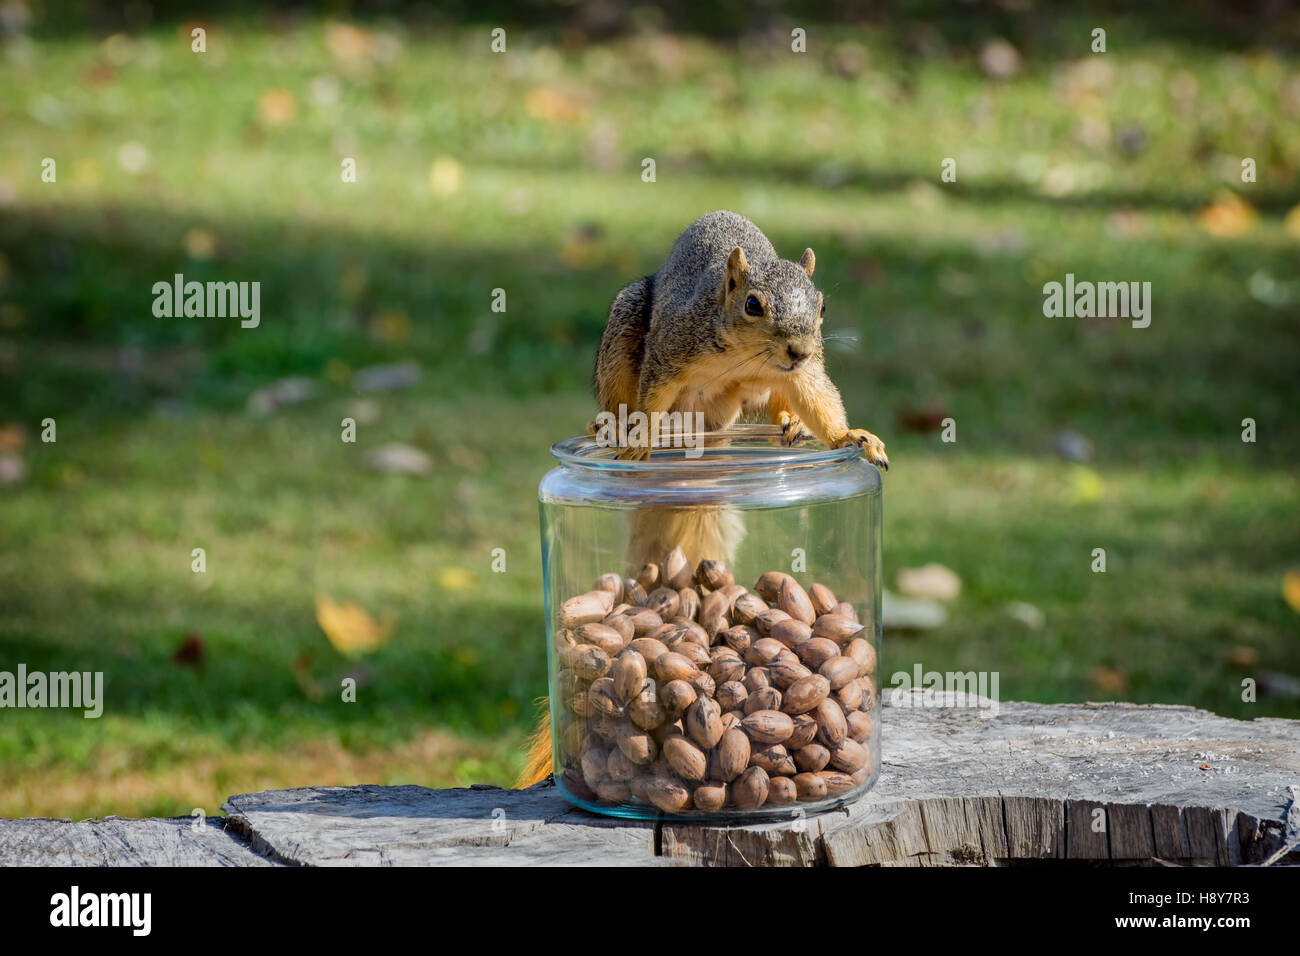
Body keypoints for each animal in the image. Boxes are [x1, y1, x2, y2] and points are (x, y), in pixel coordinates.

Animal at [515, 210, 887, 789]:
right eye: (753, 304)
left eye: (822, 304)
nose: (799, 349)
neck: (743, 354)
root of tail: (705, 433)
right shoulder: (672, 349)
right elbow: (650, 396)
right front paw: (638, 442)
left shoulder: (801, 374)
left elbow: (821, 400)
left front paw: (852, 437)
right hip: (625, 325)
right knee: (620, 394)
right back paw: (609, 429)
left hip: (754, 398)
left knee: (780, 406)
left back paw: (790, 425)